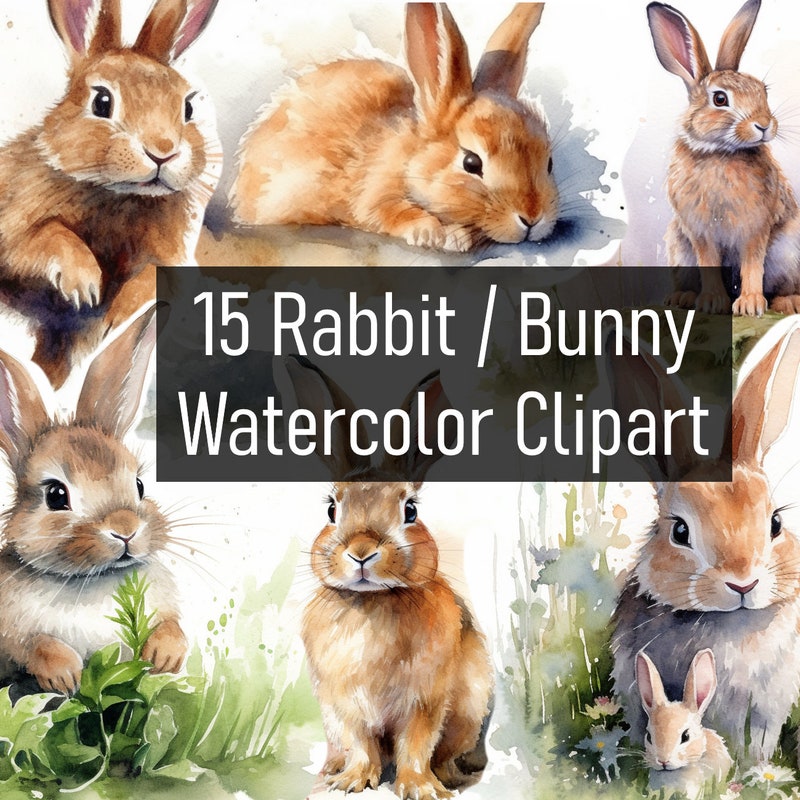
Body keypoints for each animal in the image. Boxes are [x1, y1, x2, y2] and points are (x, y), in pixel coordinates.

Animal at [0, 0, 222, 388]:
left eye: (188, 107)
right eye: (102, 102)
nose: (162, 151)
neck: (122, 195)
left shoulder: (167, 259)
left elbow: (153, 277)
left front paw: (119, 319)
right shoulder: (14, 224)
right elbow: (47, 234)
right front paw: (85, 284)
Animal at [0, 305, 187, 694]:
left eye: (139, 484)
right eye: (56, 495)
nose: (125, 529)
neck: (93, 580)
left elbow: (171, 624)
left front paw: (164, 656)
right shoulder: (10, 630)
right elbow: (34, 645)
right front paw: (66, 674)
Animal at [229, 3, 559, 253]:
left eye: (549, 163)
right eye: (471, 163)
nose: (532, 218)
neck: (412, 160)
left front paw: (458, 236)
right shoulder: (372, 194)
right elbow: (389, 212)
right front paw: (430, 232)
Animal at [279, 356, 494, 800]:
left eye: (410, 510)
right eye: (331, 509)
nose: (361, 552)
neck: (372, 601)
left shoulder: (425, 701)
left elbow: (416, 743)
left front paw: (421, 789)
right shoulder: (345, 705)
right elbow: (361, 744)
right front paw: (351, 782)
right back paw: (330, 772)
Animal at [647, 0, 800, 317]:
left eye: (763, 91)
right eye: (720, 99)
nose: (764, 125)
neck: (720, 152)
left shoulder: (755, 227)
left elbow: (752, 264)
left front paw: (750, 304)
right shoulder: (700, 232)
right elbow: (709, 262)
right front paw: (712, 301)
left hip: (789, 253)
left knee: (781, 287)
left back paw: (787, 302)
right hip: (679, 250)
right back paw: (682, 298)